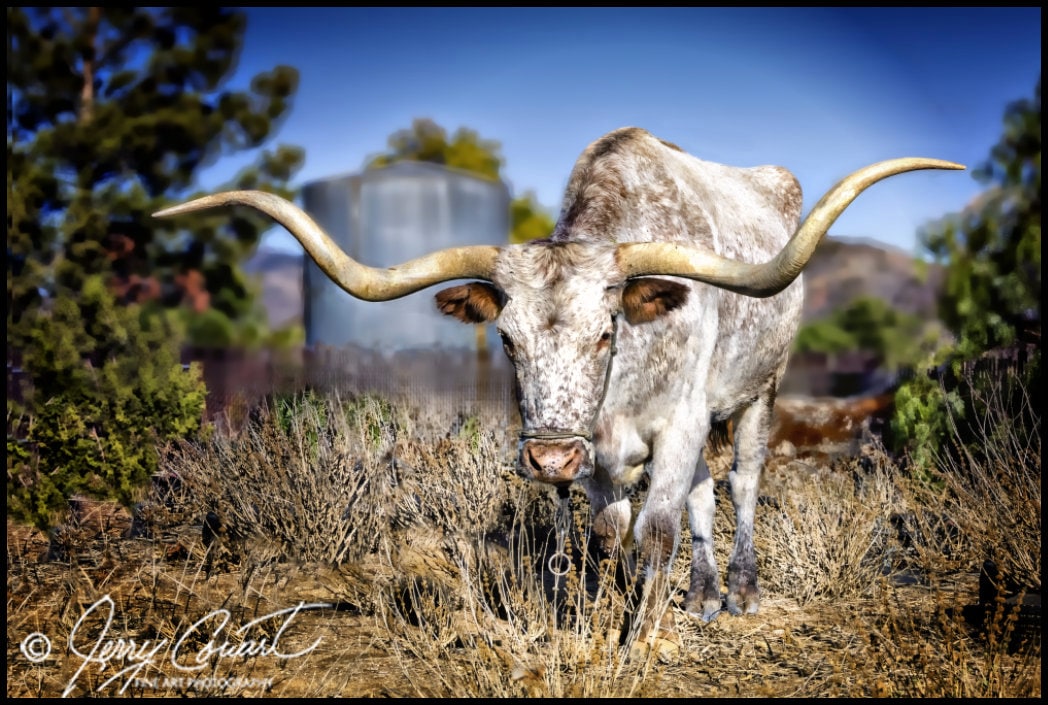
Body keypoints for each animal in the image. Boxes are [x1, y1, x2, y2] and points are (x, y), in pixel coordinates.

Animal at [155, 127, 962, 656]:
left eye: (606, 331)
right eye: (508, 340)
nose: (548, 461)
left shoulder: (678, 419)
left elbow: (656, 530)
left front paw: (637, 640)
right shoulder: (603, 451)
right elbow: (609, 535)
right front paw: (603, 618)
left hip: (759, 390)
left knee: (742, 480)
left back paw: (737, 588)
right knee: (704, 489)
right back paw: (701, 595)